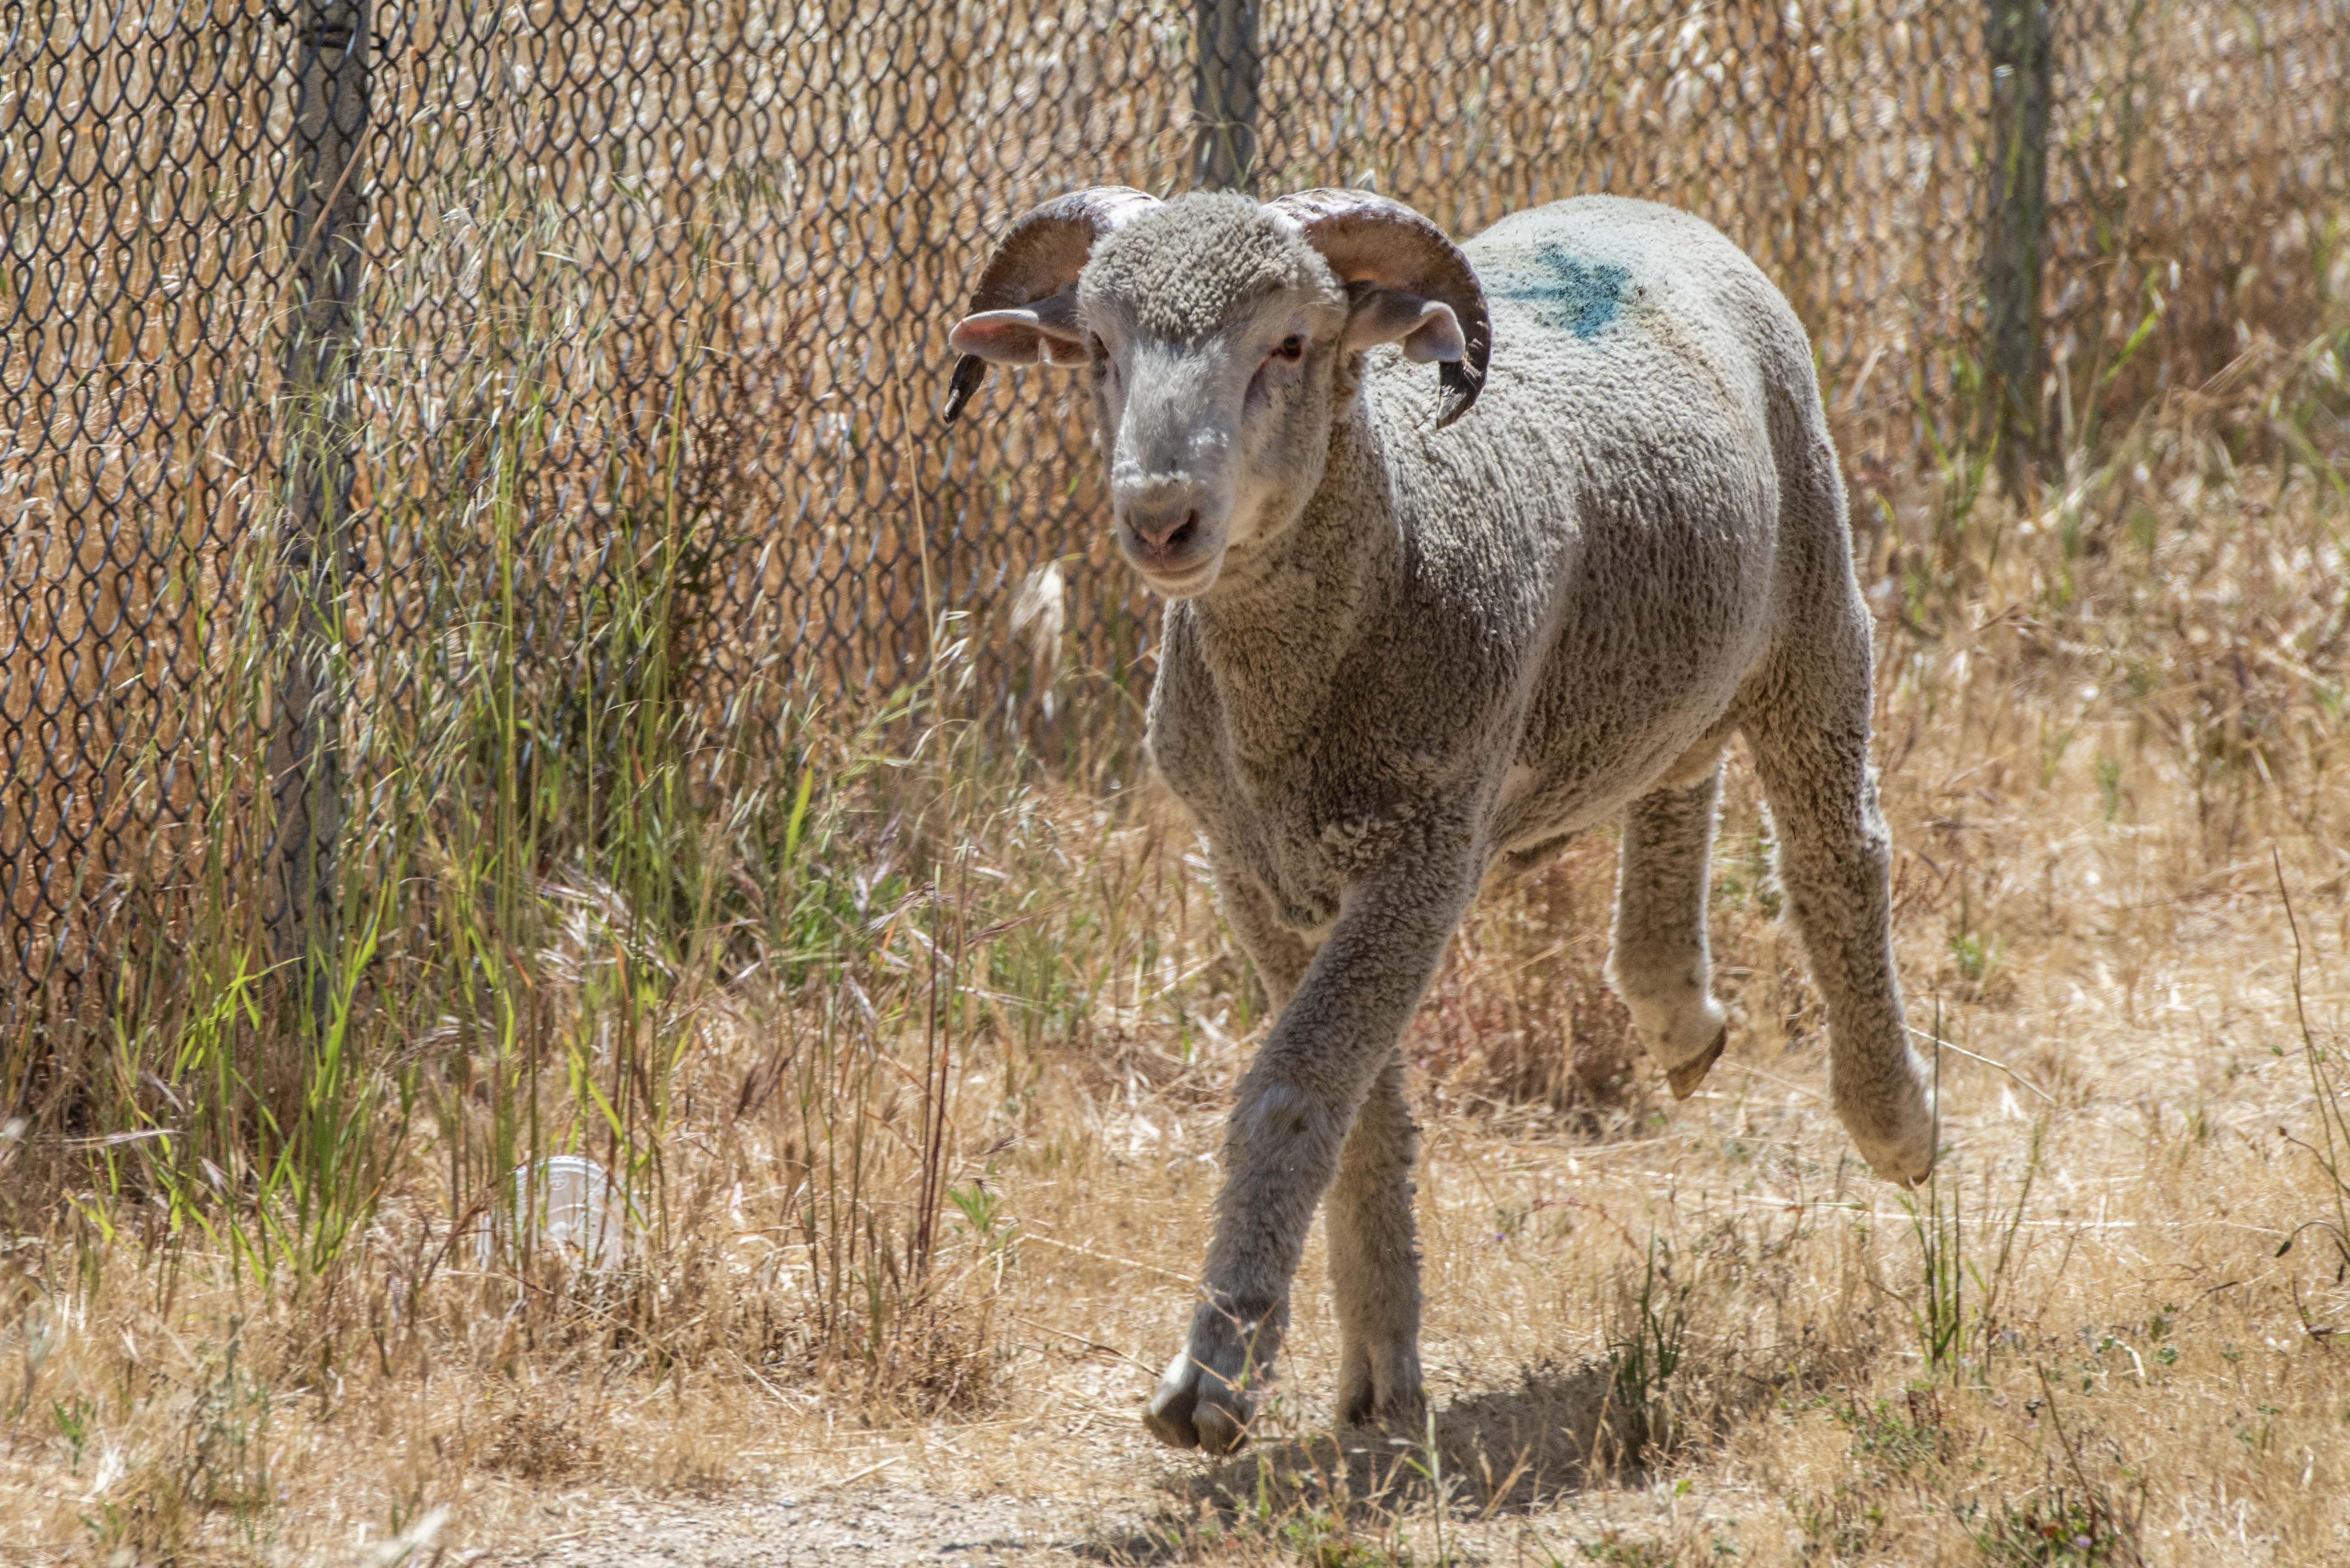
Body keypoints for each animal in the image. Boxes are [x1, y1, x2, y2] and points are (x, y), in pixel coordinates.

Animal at [944, 186, 1938, 1455]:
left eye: (1288, 344)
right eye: (1102, 351)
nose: (1159, 516)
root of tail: (1640, 203)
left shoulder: (1424, 853)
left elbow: (1294, 1085)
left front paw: (1215, 1369)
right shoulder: (1251, 873)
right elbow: (1361, 1105)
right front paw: (1377, 1363)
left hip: (1815, 604)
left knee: (1836, 856)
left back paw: (1895, 1121)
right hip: (1665, 640)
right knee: (1678, 765)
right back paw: (1673, 1004)